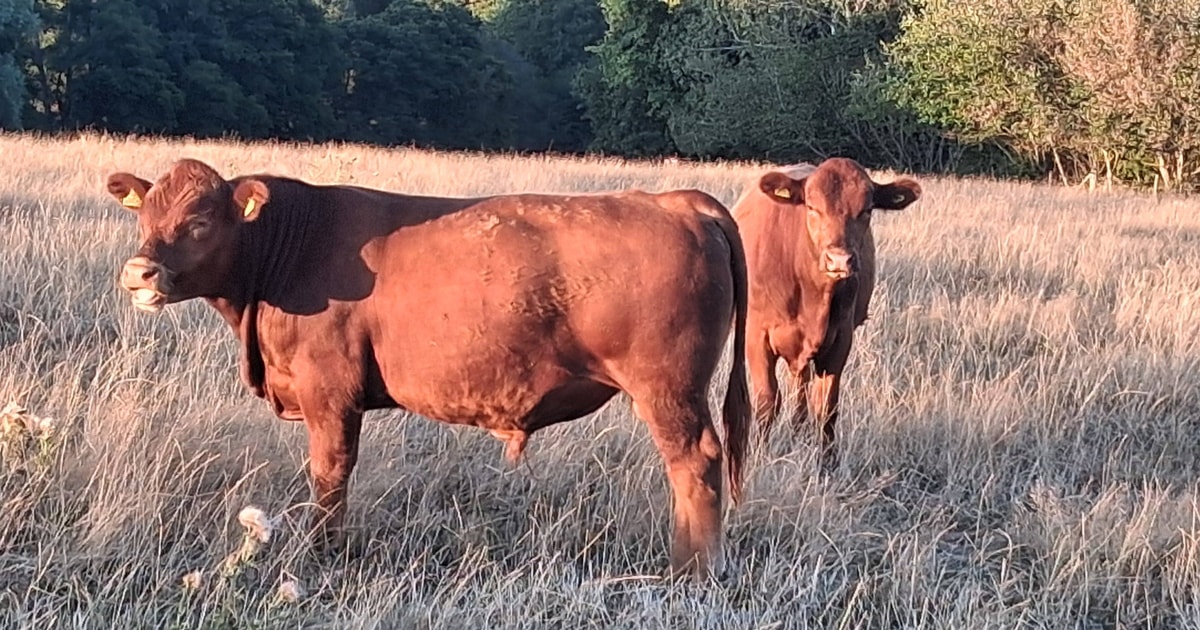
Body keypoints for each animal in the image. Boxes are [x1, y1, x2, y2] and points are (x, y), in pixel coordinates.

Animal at [105, 158, 750, 578]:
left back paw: (692, 571)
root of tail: (674, 200)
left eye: (200, 222)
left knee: (695, 462)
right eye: (145, 218)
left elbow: (329, 474)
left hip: (668, 390)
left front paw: (322, 556)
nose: (138, 272)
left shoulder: (329, 392)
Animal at [731, 157, 920, 471]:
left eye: (867, 209)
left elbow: (827, 407)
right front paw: (759, 455)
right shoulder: (756, 335)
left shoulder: (841, 340)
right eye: (811, 206)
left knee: (801, 388)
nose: (839, 260)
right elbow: (767, 401)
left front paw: (826, 463)